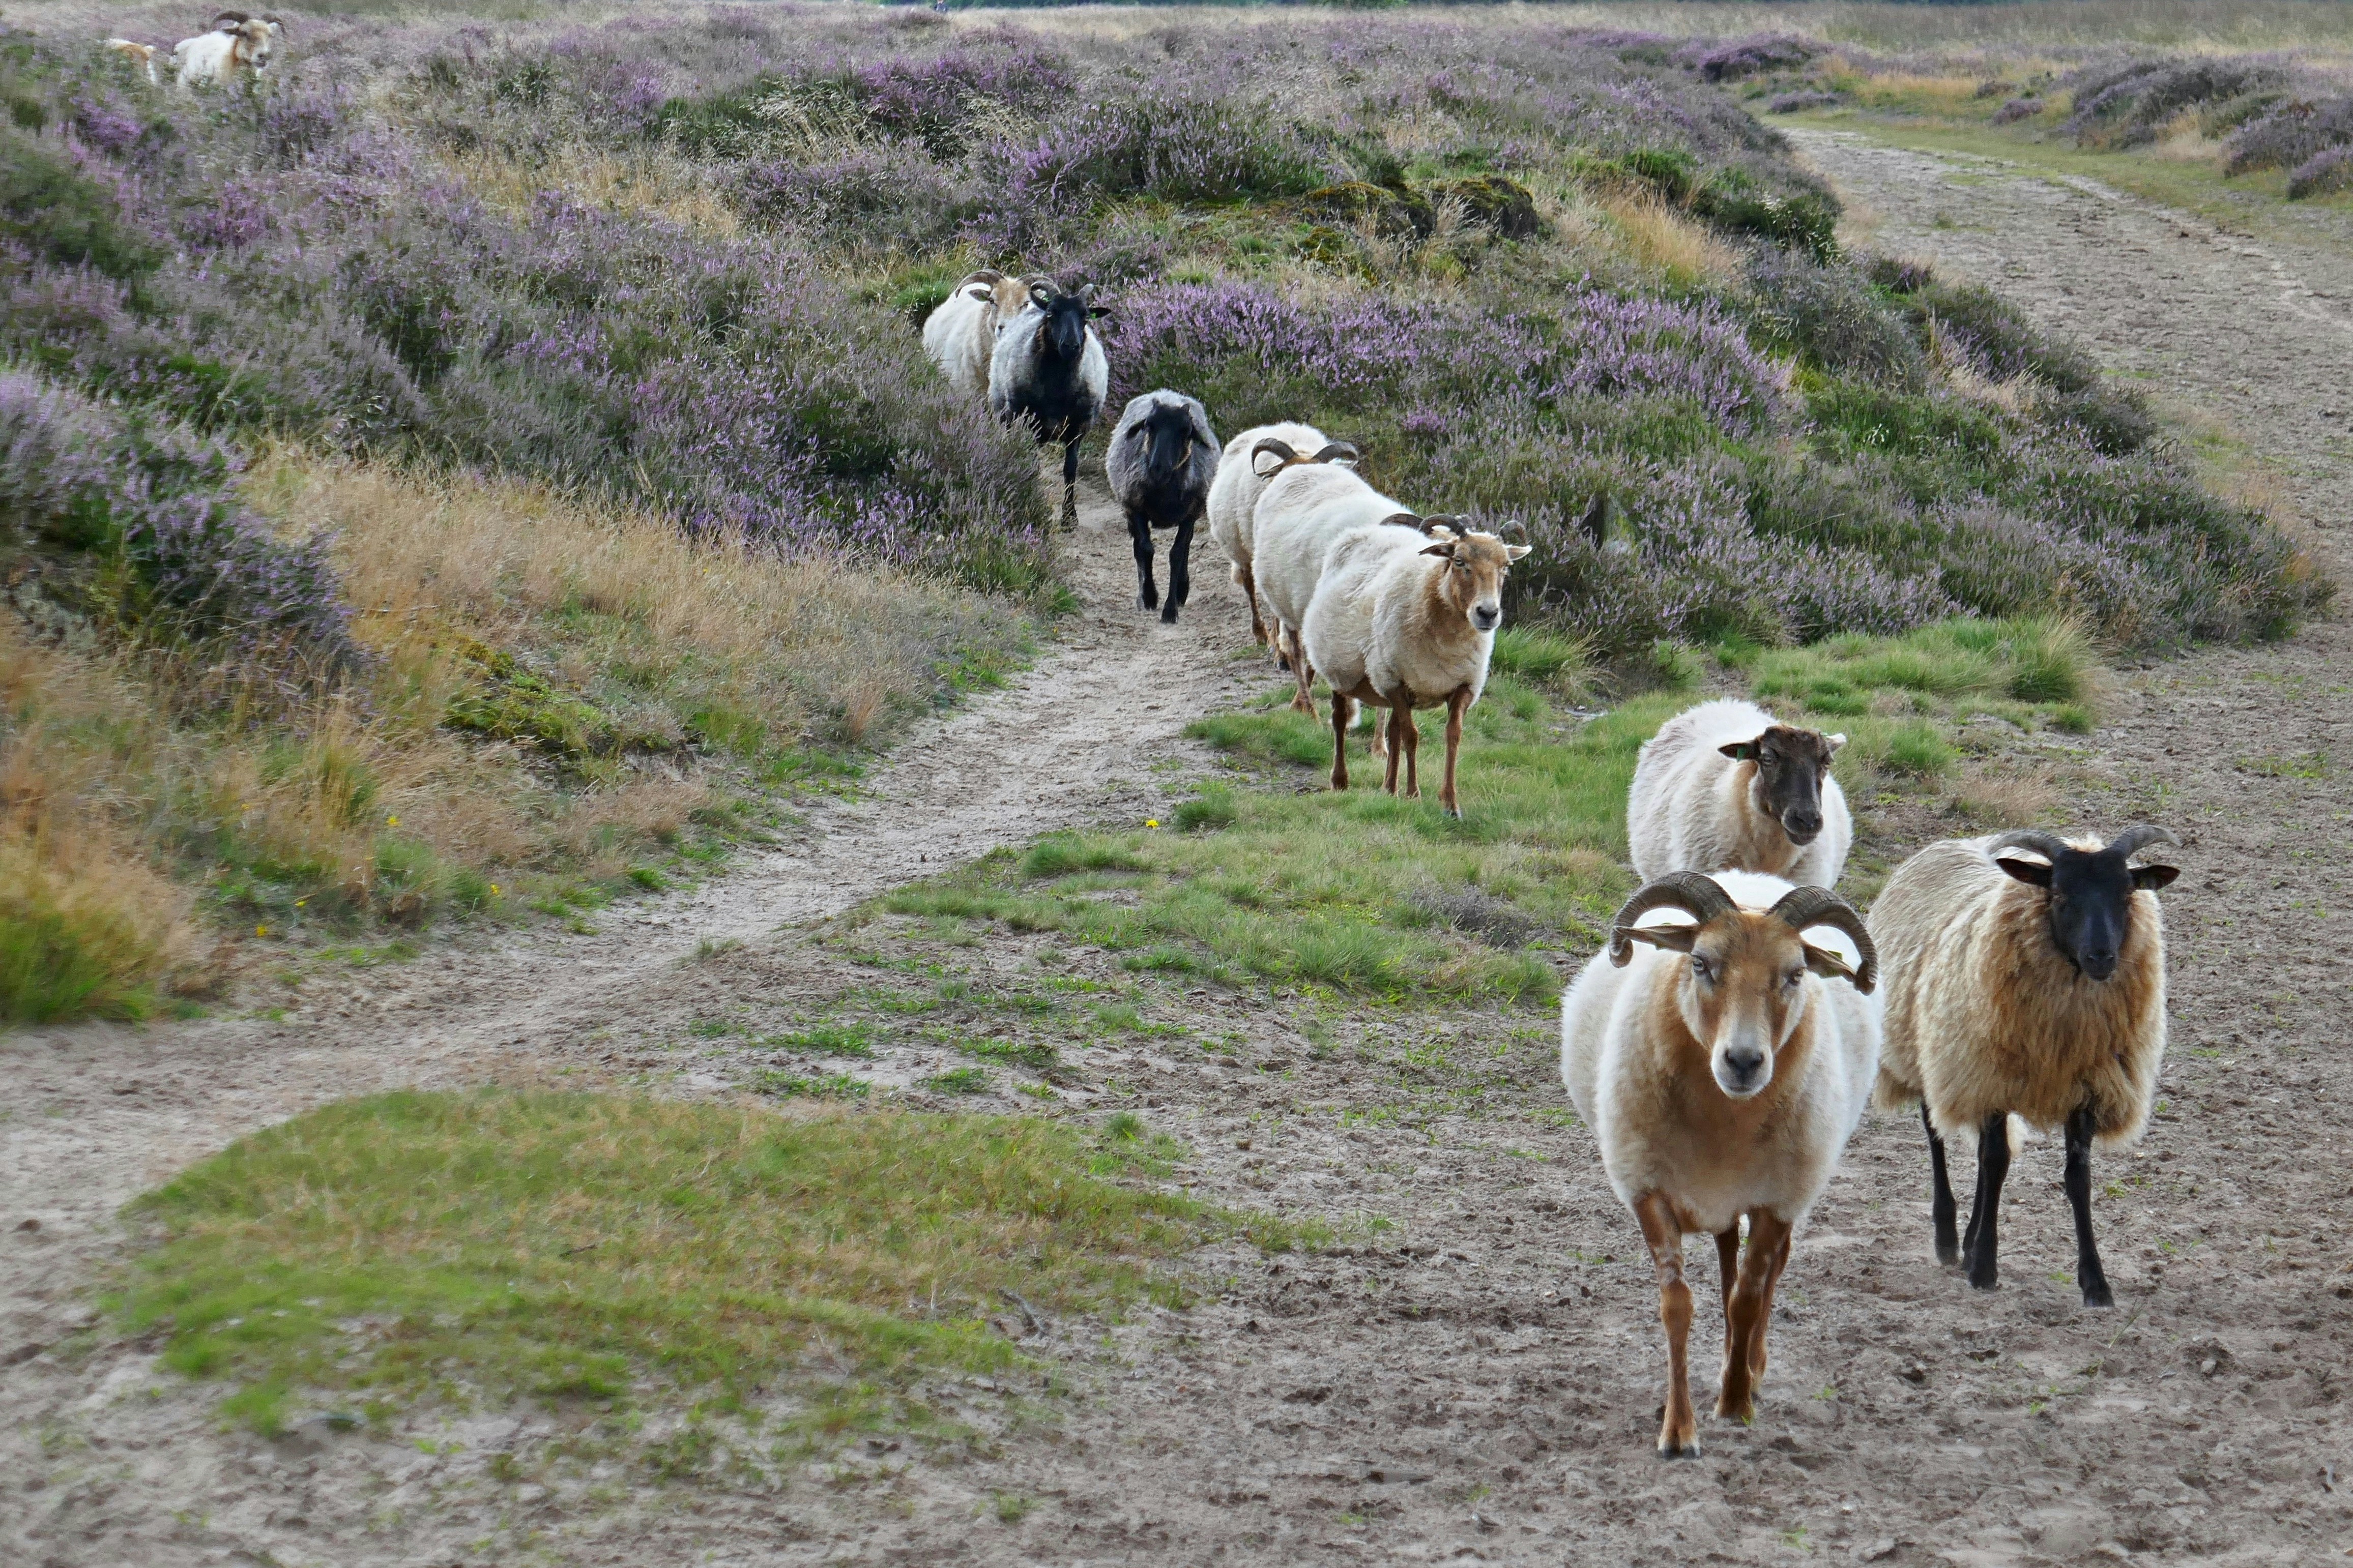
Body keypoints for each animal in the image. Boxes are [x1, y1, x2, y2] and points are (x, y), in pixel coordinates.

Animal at [987, 278, 1109, 518]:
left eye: (1086, 316)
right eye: (1052, 313)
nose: (1071, 346)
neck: (1057, 387)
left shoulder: (1076, 427)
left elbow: (1070, 469)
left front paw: (1070, 516)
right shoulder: (1030, 423)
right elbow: (1031, 464)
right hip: (1007, 415)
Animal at [1103, 390, 1219, 623]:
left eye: (1187, 431)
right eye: (1149, 425)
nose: (1158, 468)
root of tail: (1167, 393)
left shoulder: (1190, 514)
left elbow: (1177, 553)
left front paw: (1170, 610)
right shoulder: (1136, 509)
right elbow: (1146, 549)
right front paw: (1149, 597)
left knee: (1186, 547)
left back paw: (1182, 590)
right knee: (1138, 548)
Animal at [1300, 517, 1528, 818]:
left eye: (1506, 567)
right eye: (1459, 561)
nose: (1488, 614)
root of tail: (1368, 531)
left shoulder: (1464, 685)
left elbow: (1452, 736)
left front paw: (1450, 804)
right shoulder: (1394, 681)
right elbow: (1412, 737)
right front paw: (1413, 794)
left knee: (1393, 728)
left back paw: (1389, 788)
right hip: (1341, 669)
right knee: (1340, 720)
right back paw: (1341, 780)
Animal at [1561, 870, 1880, 1457]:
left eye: (1795, 974)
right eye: (1699, 962)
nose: (1743, 1061)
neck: (1723, 1117)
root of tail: (1754, 877)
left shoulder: (1777, 1199)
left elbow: (1748, 1298)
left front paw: (1735, 1402)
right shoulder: (1647, 1187)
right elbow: (1678, 1305)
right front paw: (1678, 1429)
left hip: (1782, 1185)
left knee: (1766, 1270)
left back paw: (1750, 1367)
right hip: (1720, 1198)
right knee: (1728, 1254)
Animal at [1867, 826, 2178, 1306]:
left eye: (2127, 893)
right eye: (2058, 893)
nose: (2102, 957)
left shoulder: (2087, 1086)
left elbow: (2076, 1178)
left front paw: (2095, 1283)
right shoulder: (1989, 1075)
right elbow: (1994, 1162)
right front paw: (1983, 1268)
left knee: (1982, 1150)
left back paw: (1969, 1237)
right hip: (1932, 1054)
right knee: (1938, 1134)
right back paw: (1948, 1239)